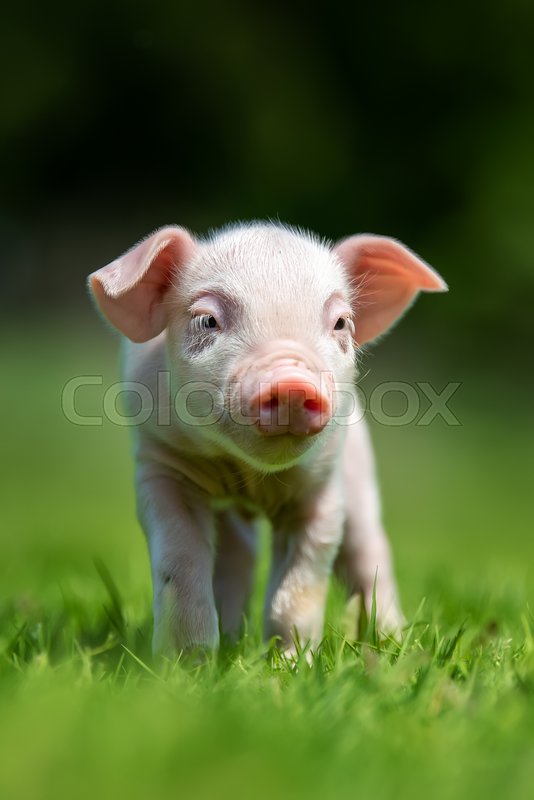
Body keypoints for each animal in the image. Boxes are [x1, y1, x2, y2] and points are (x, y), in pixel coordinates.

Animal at [88, 222, 447, 657]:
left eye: (341, 323)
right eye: (207, 320)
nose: (291, 382)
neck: (249, 475)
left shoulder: (324, 487)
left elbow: (301, 584)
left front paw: (291, 662)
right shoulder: (161, 467)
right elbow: (180, 559)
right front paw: (185, 661)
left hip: (361, 474)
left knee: (368, 550)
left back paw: (393, 643)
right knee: (239, 554)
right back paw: (229, 639)